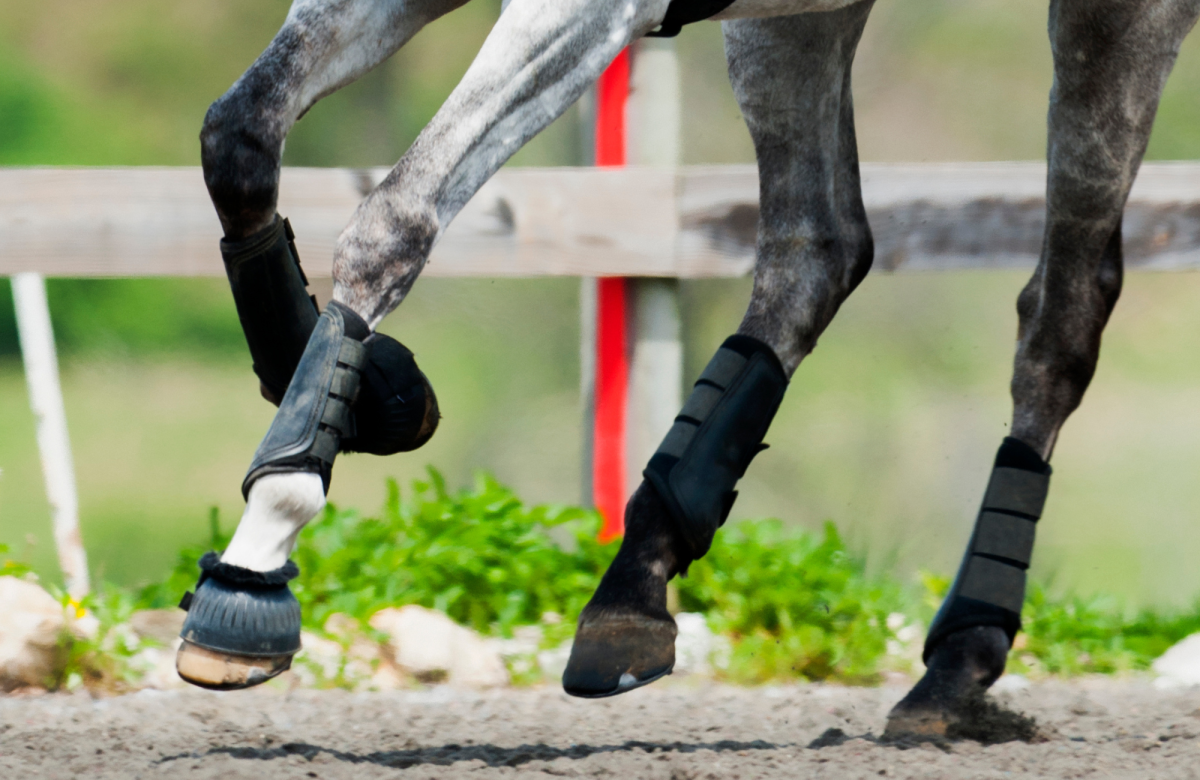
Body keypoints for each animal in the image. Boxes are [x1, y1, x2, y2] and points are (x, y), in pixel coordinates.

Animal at [170, 0, 1200, 737]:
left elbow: (395, 217)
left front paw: (259, 555)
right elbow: (238, 135)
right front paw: (374, 394)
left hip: (1115, 15)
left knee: (1062, 310)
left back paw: (959, 659)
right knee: (816, 251)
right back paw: (633, 590)